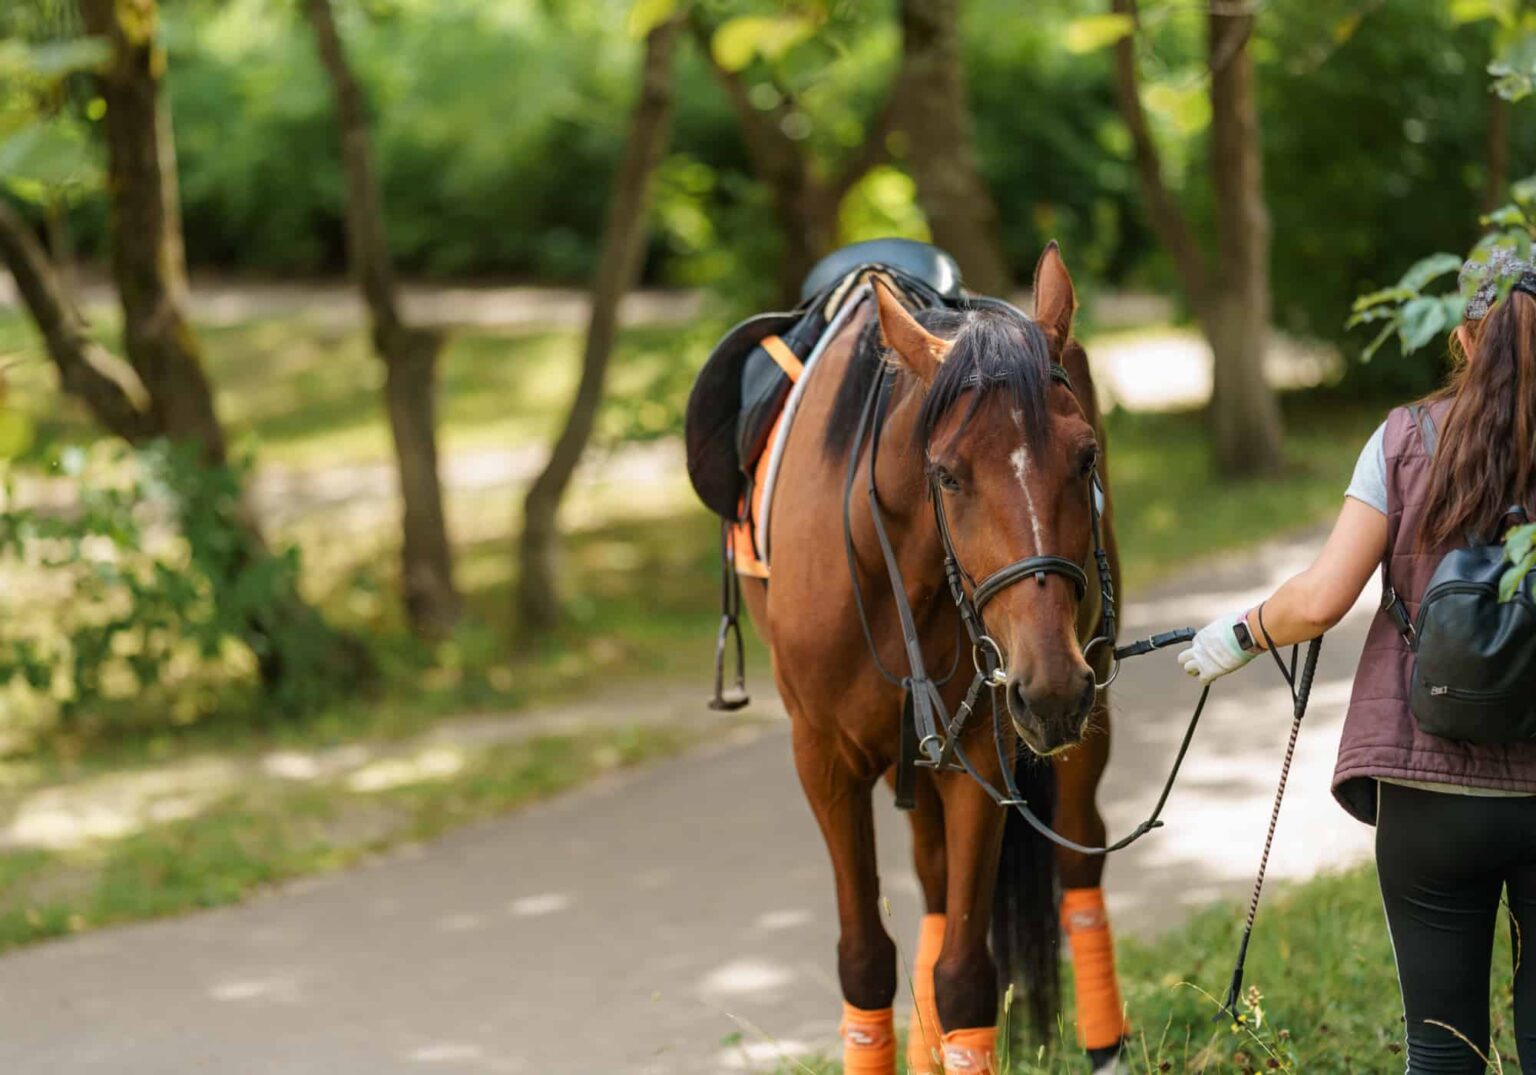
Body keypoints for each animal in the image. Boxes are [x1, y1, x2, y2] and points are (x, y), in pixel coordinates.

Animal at [738, 243, 1129, 1074]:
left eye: (1085, 459)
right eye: (947, 474)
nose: (1051, 689)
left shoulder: (982, 747)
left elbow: (966, 976)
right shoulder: (824, 759)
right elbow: (865, 958)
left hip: (1091, 692)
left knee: (1079, 857)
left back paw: (1107, 1042)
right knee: (934, 881)